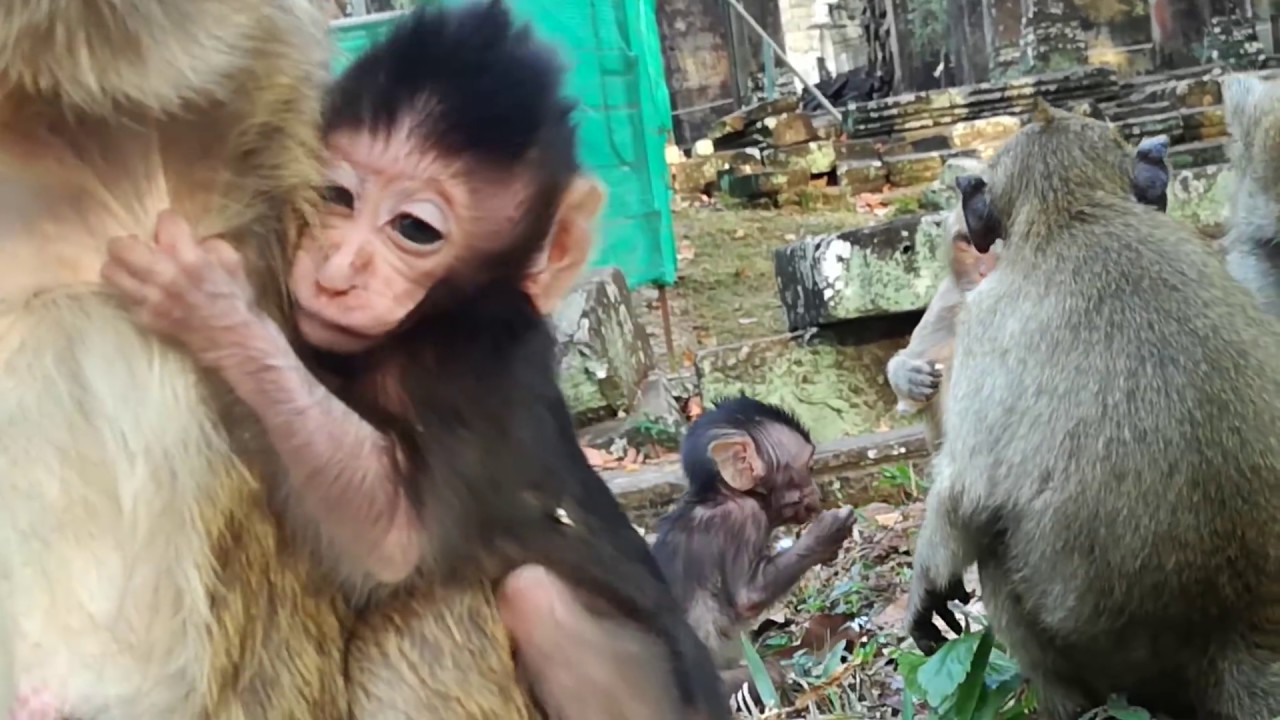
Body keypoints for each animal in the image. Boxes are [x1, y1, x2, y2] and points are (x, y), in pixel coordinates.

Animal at [99, 3, 729, 719]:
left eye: (415, 229)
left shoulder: (476, 362)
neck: (415, 330)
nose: (338, 273)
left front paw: (211, 306)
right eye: (336, 197)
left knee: (535, 595)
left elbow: (395, 543)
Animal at [649, 395, 855, 704]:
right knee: (767, 675)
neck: (723, 495)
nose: (818, 494)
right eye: (808, 467)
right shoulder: (744, 518)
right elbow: (749, 595)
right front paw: (828, 534)